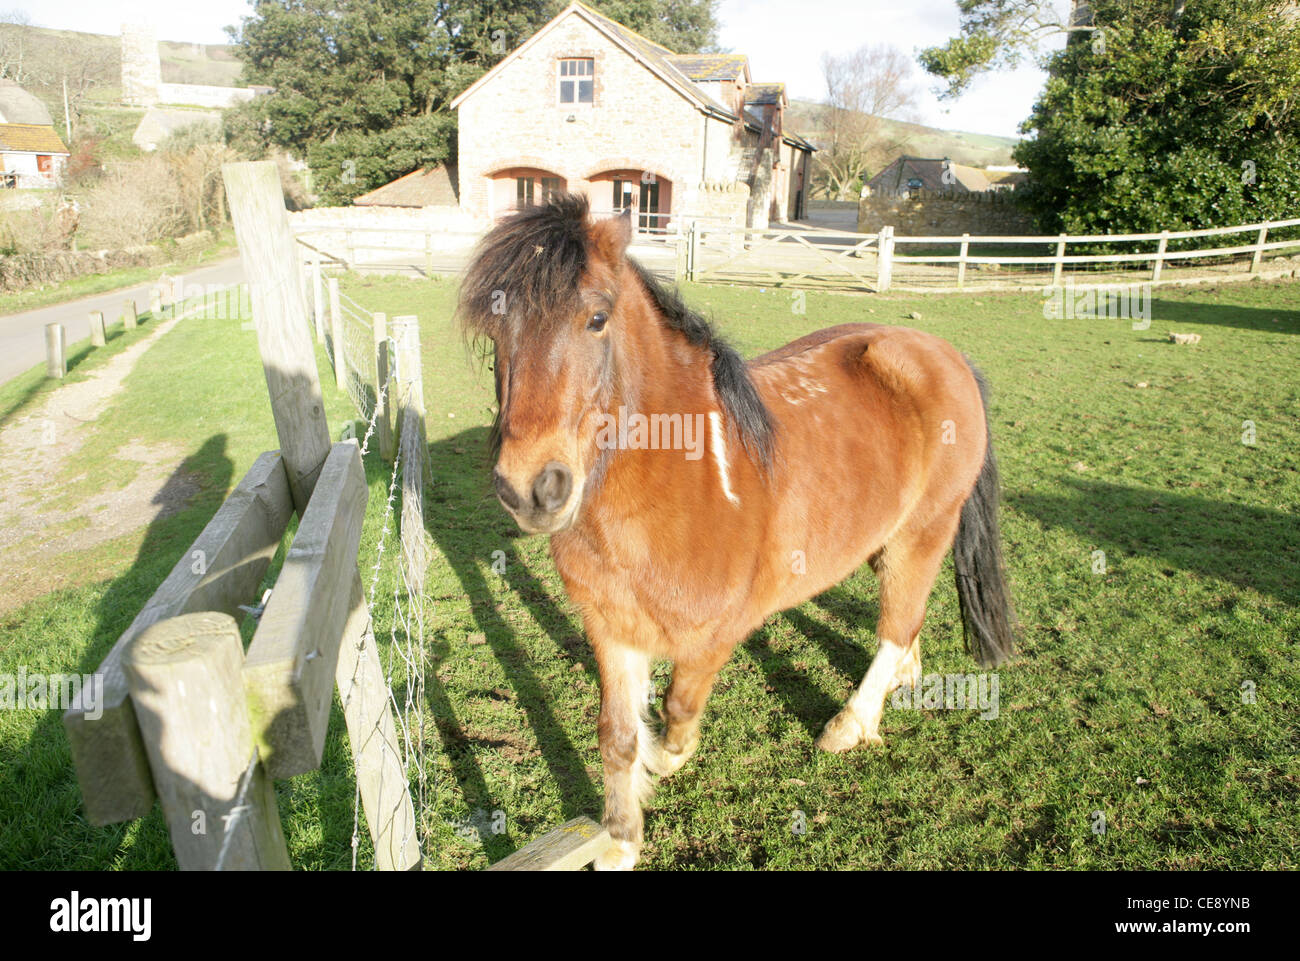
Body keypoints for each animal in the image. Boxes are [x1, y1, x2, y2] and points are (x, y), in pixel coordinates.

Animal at [458, 194, 1017, 870]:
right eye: (495, 334)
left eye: (596, 318)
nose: (532, 489)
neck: (671, 485)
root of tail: (945, 354)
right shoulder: (610, 628)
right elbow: (618, 737)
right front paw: (620, 840)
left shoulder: (713, 638)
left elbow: (675, 717)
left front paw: (663, 765)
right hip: (886, 539)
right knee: (909, 613)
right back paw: (903, 679)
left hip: (926, 530)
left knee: (898, 621)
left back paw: (852, 723)